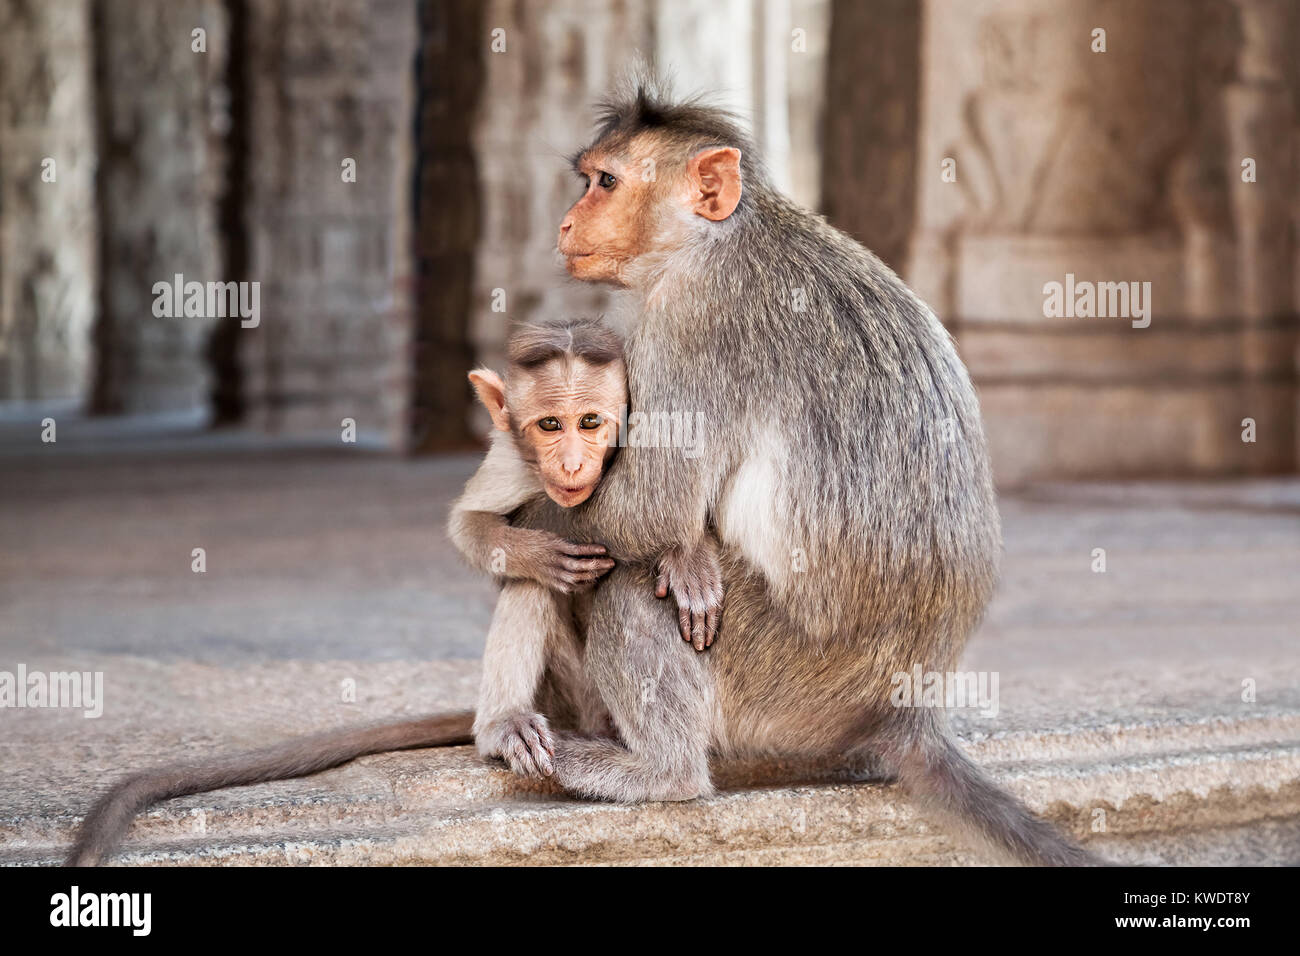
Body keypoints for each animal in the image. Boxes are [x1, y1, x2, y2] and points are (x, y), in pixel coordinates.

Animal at [499, 72, 1100, 866]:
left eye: (605, 182)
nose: (568, 224)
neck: (719, 235)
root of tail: (904, 709)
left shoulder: (690, 324)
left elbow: (648, 509)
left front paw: (529, 529)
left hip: (786, 680)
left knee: (629, 587)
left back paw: (659, 773)